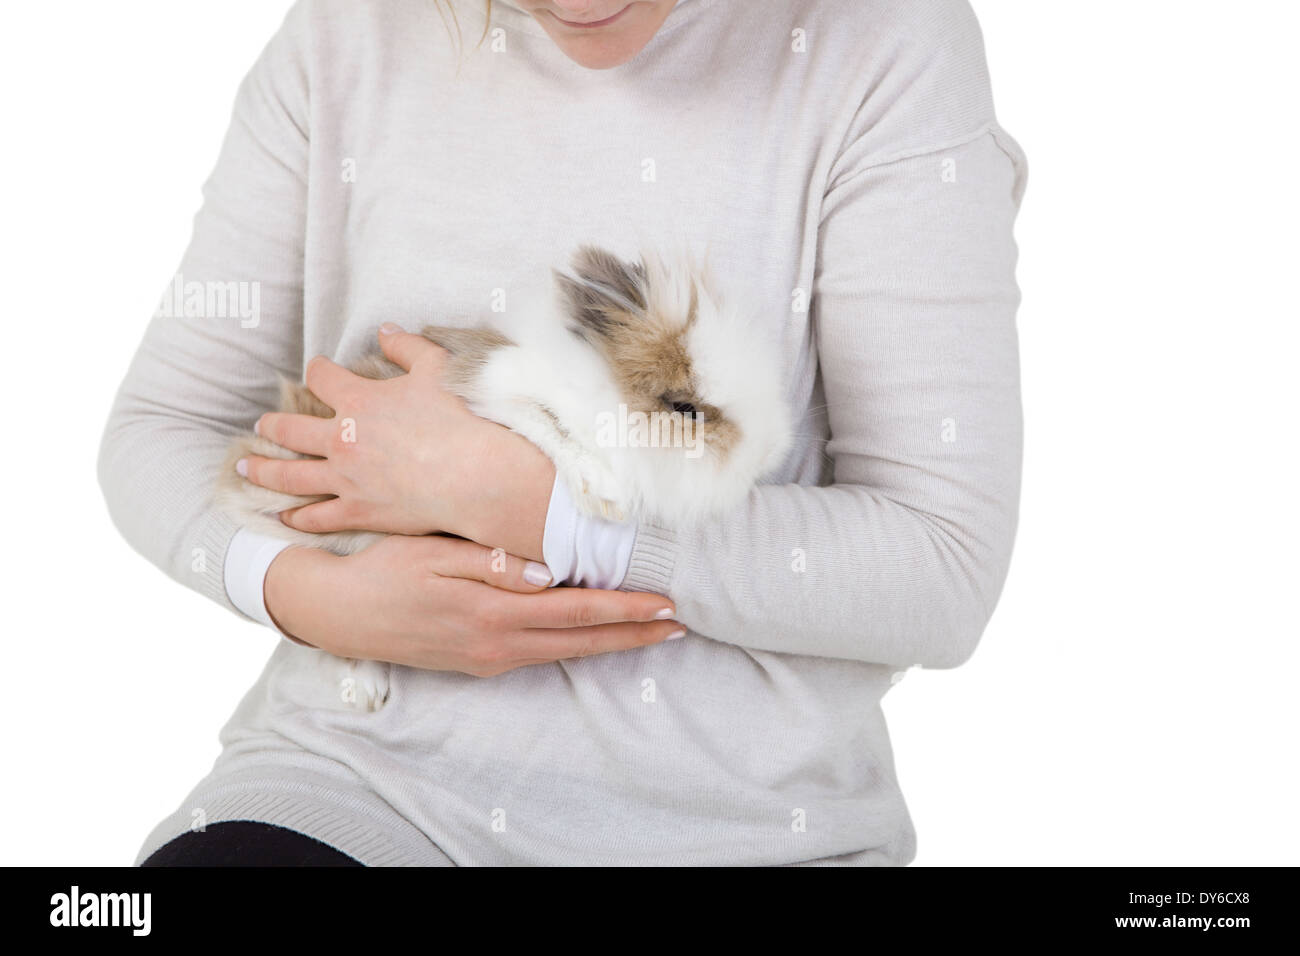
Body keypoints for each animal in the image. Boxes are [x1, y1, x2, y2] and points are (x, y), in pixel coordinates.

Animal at [216, 243, 792, 710]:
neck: (602, 397)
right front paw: (605, 497)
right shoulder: (497, 392)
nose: (769, 452)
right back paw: (367, 691)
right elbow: (551, 430)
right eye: (684, 408)